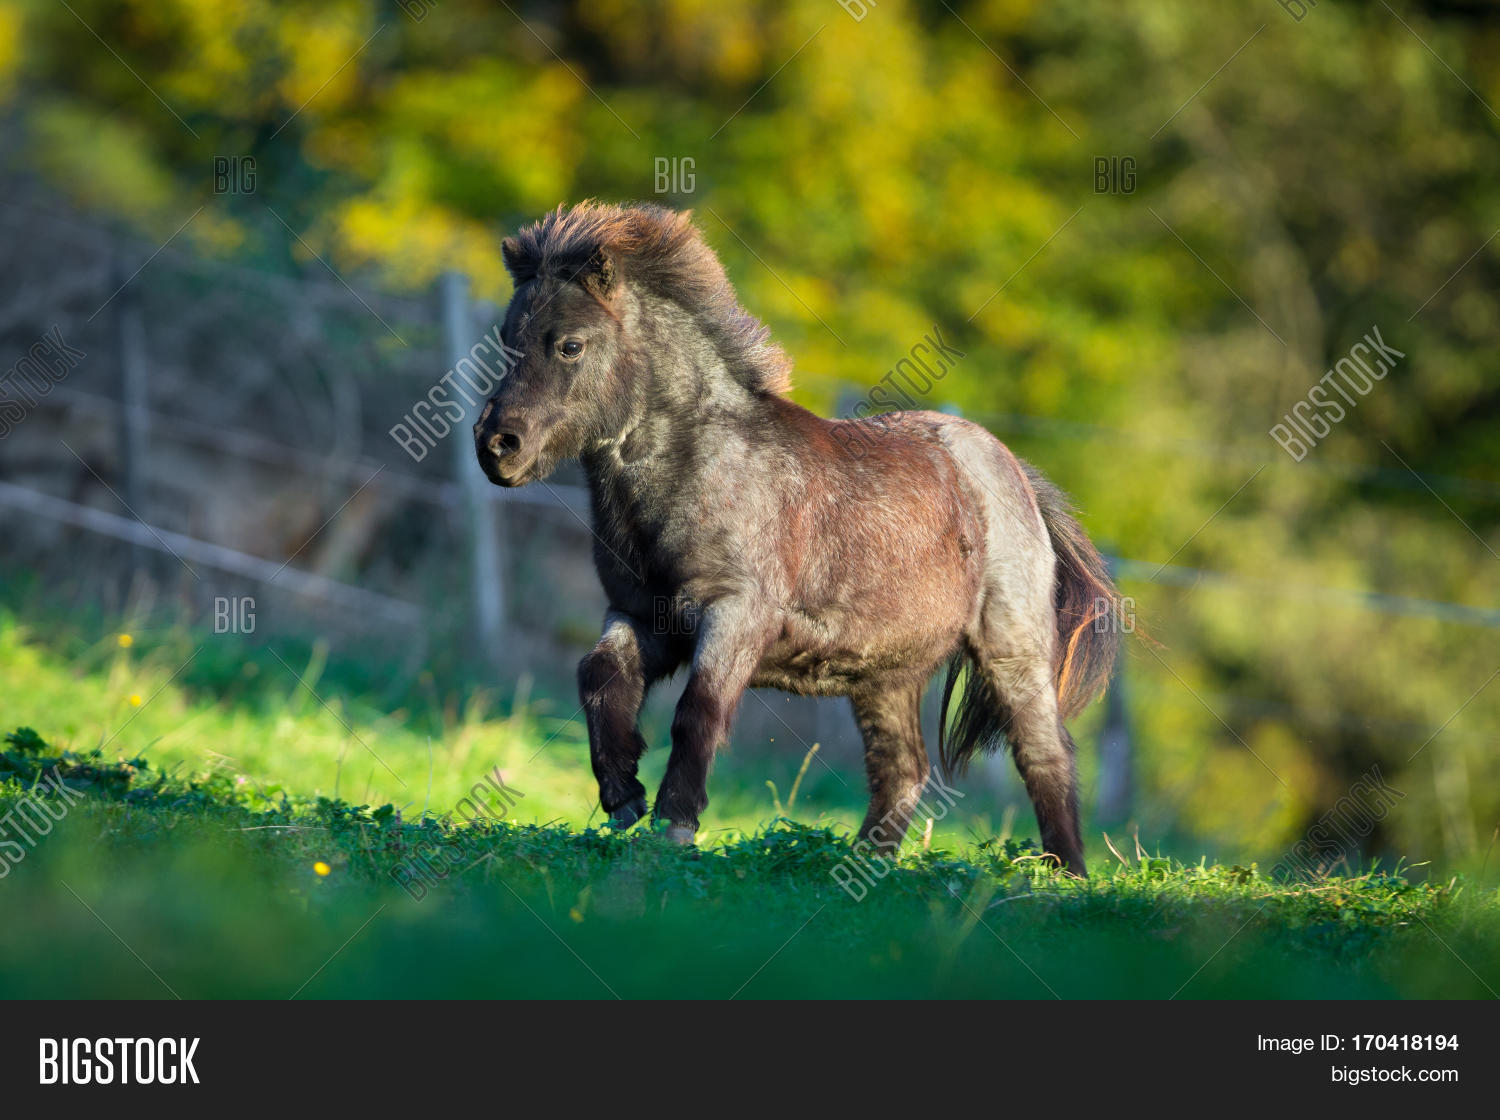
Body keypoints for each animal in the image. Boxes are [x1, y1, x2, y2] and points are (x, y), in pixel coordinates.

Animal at [474, 202, 1121, 874]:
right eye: (507, 340)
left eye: (570, 344)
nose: (497, 446)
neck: (704, 470)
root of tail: (1014, 471)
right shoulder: (640, 616)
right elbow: (598, 676)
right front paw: (624, 793)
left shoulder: (736, 615)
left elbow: (699, 710)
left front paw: (674, 824)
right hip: (887, 675)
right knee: (902, 771)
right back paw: (860, 867)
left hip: (1011, 651)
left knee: (1044, 755)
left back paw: (1065, 876)